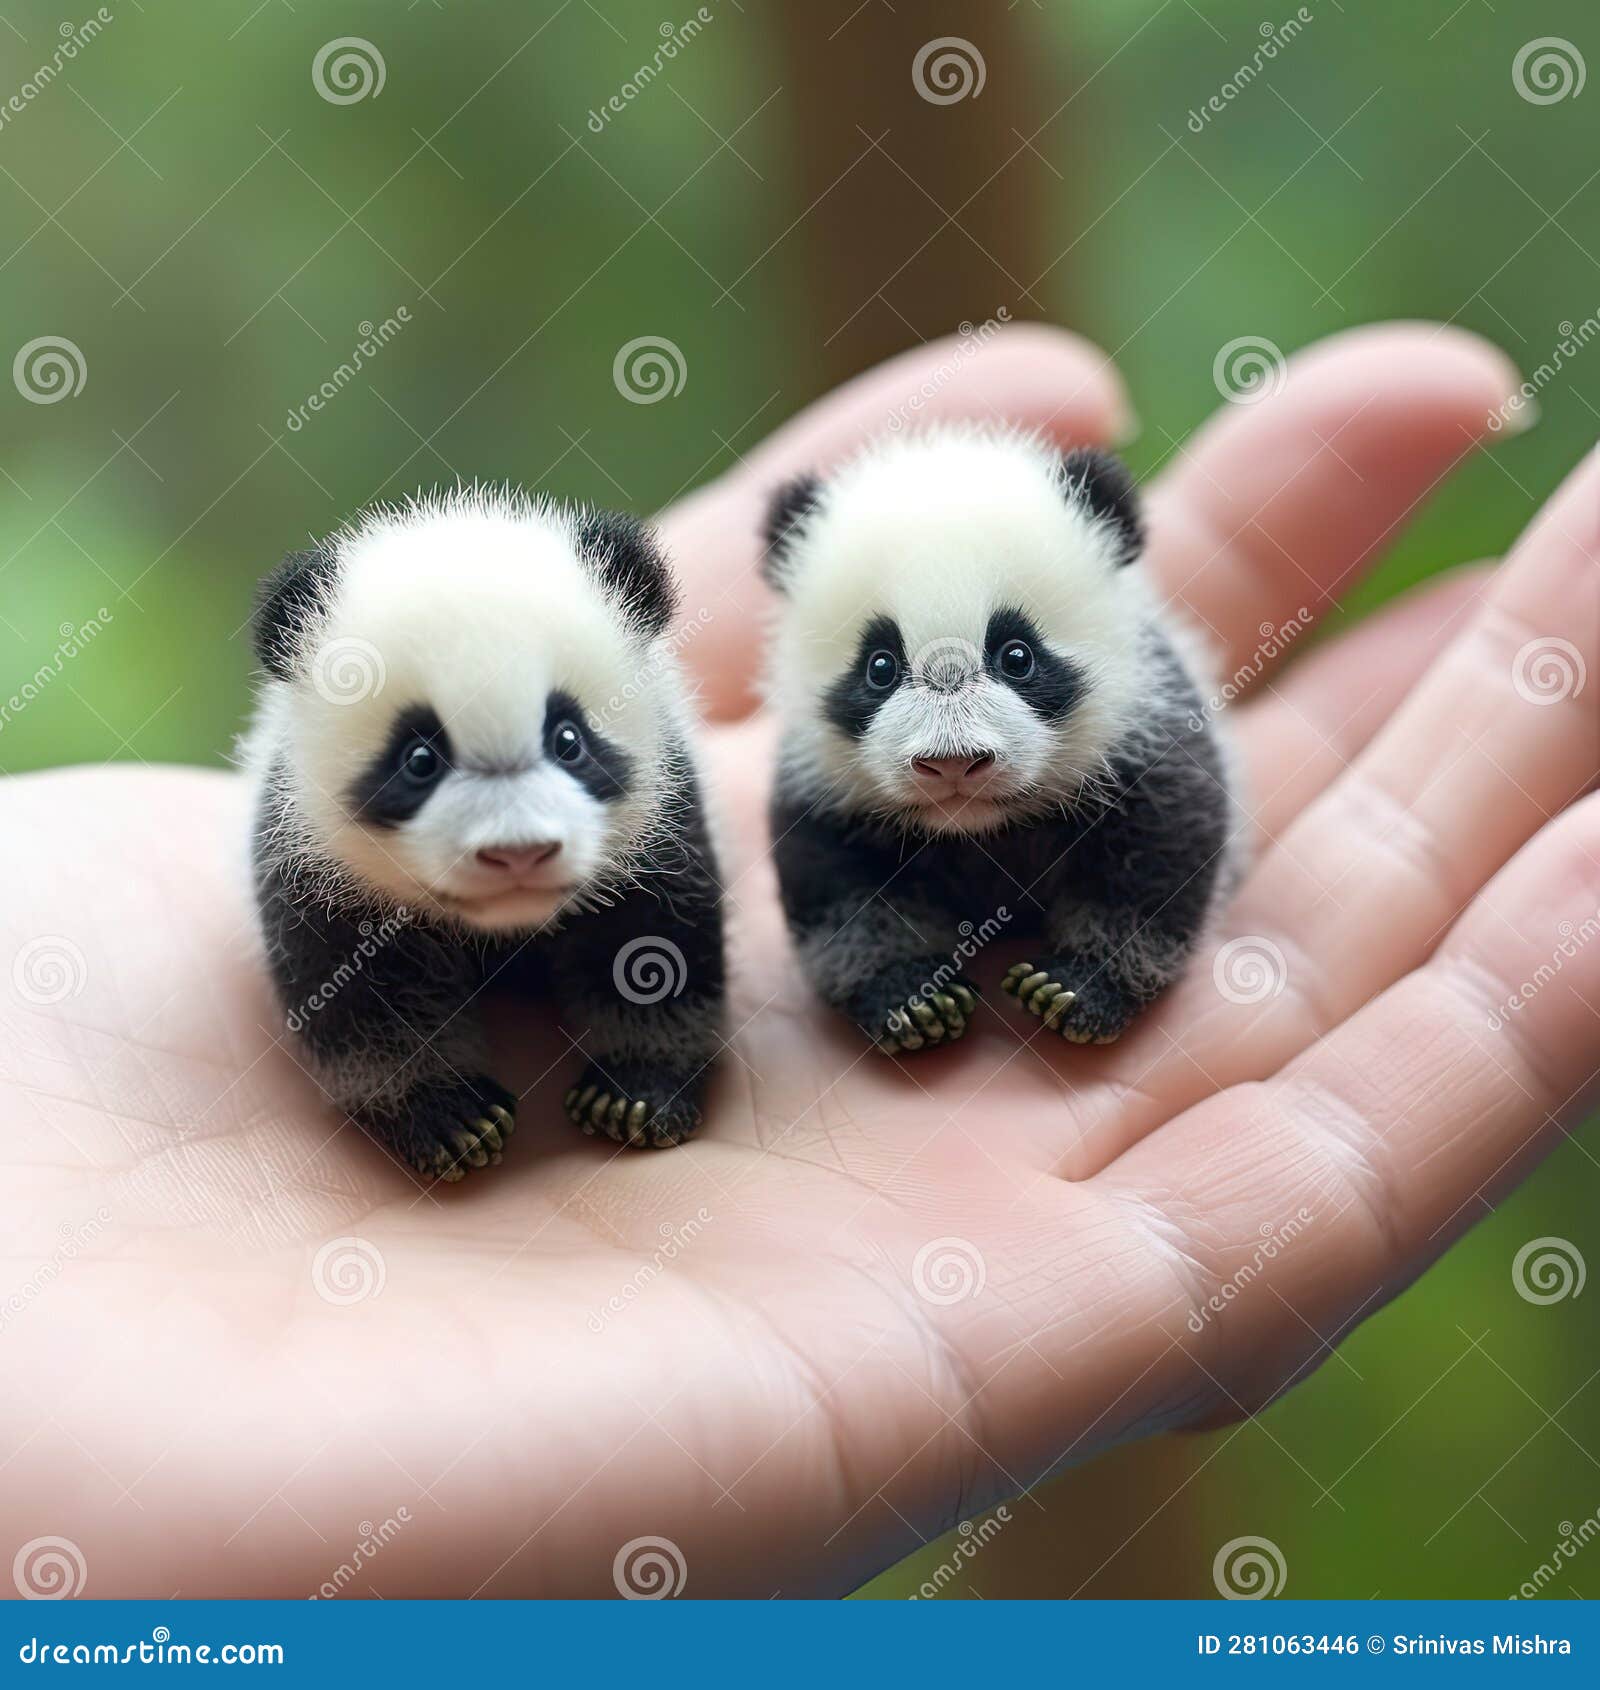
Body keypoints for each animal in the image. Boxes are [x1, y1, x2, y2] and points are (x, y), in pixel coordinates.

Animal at [242, 486, 725, 1179]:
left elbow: (657, 946)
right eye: (419, 760)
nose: (518, 854)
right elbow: (364, 1004)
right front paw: (450, 1119)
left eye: (569, 739)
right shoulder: (314, 864)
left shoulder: (660, 824)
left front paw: (634, 1094)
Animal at [760, 426, 1239, 1054]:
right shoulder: (820, 781)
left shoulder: (1144, 724)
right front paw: (913, 997)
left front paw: (1074, 988)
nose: (954, 764)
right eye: (880, 666)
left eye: (1017, 655)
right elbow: (841, 894)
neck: (978, 831)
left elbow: (1155, 857)